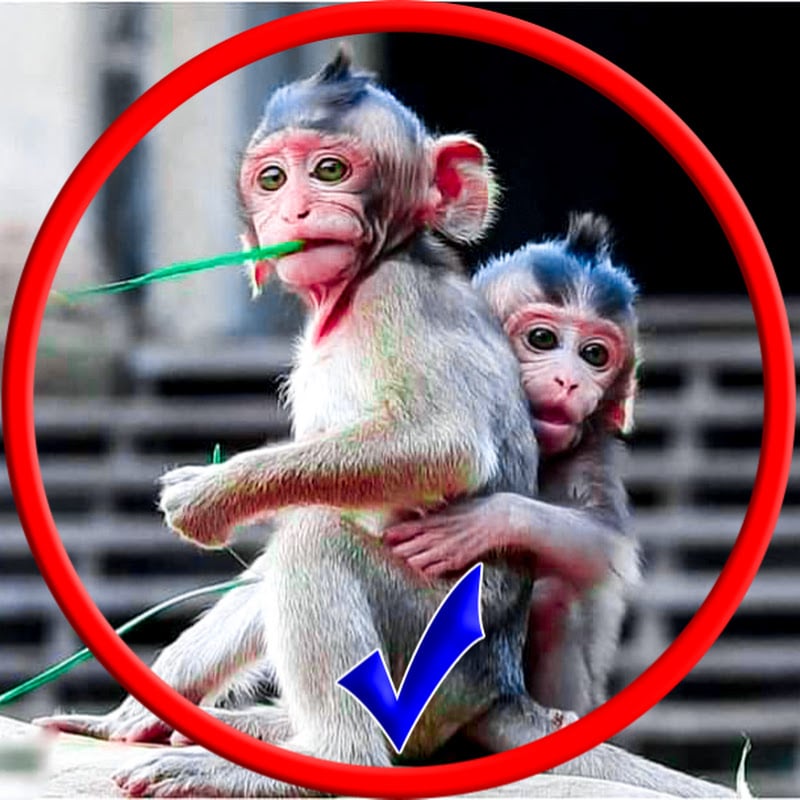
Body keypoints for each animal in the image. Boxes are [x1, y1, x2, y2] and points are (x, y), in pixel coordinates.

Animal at [45, 52, 731, 798]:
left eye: (331, 170)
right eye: (272, 178)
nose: (295, 208)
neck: (365, 276)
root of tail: (497, 690)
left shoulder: (397, 302)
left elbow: (445, 445)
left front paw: (211, 494)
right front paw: (134, 709)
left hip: (429, 656)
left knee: (317, 537)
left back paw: (320, 761)